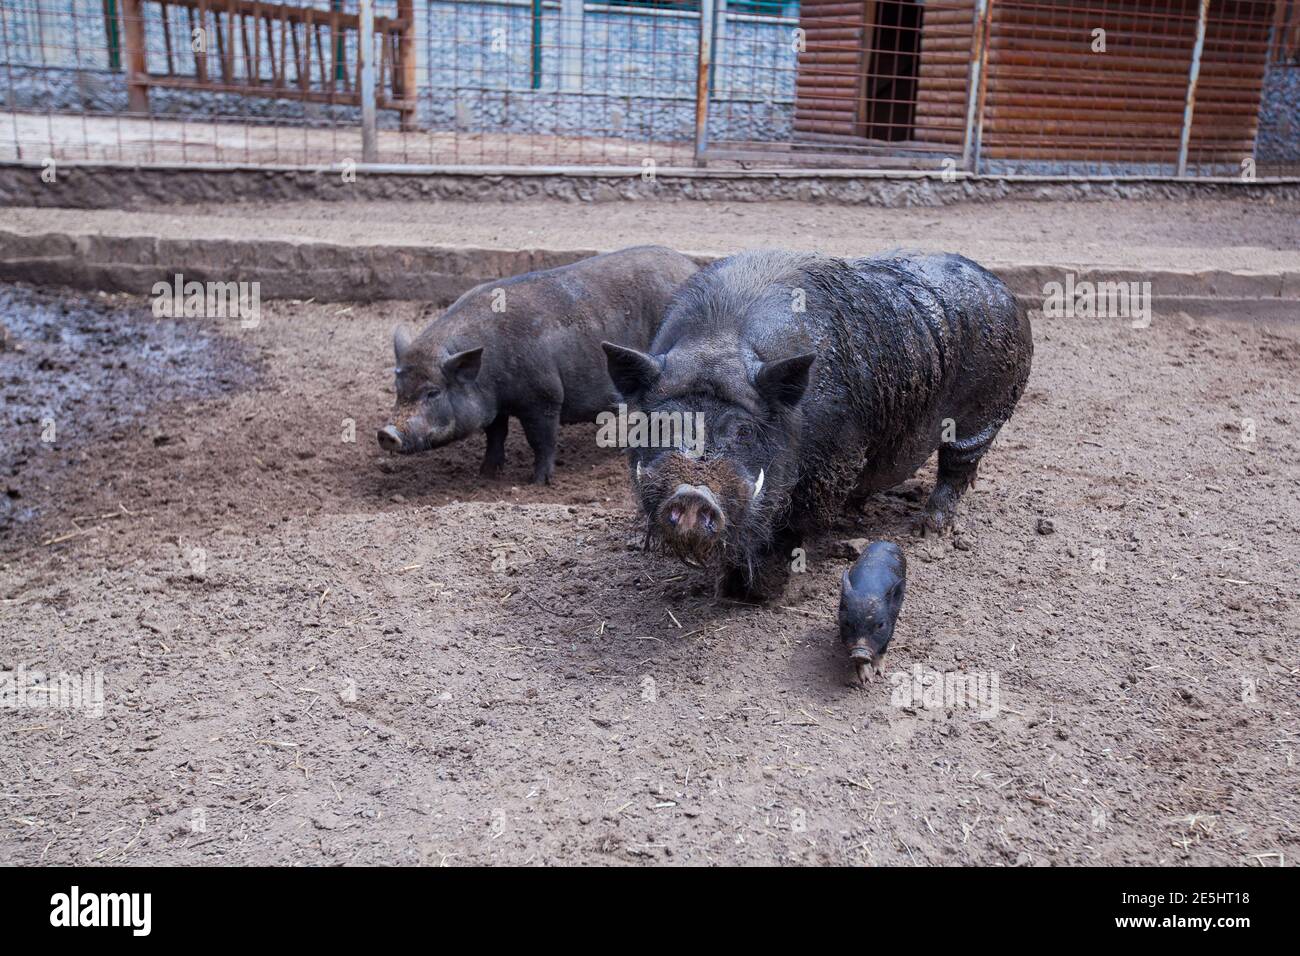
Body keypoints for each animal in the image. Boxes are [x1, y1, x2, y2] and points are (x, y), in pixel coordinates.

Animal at [378, 246, 698, 484]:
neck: (489, 374)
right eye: (398, 388)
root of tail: (691, 267)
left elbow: (541, 440)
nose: (386, 434)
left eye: (433, 392)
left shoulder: (544, 396)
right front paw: (486, 474)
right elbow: (495, 435)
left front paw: (538, 482)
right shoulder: (496, 406)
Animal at [603, 249, 1032, 601]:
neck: (716, 343)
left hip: (987, 411)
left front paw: (757, 594)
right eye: (660, 424)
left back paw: (929, 531)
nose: (691, 493)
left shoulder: (832, 465)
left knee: (957, 466)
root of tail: (999, 286)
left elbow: (788, 531)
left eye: (744, 430)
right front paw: (727, 589)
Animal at [839, 541, 907, 686]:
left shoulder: (891, 624)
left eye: (880, 625)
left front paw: (879, 674)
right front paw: (867, 680)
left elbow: (884, 647)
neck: (869, 591)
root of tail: (886, 542)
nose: (860, 652)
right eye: (846, 623)